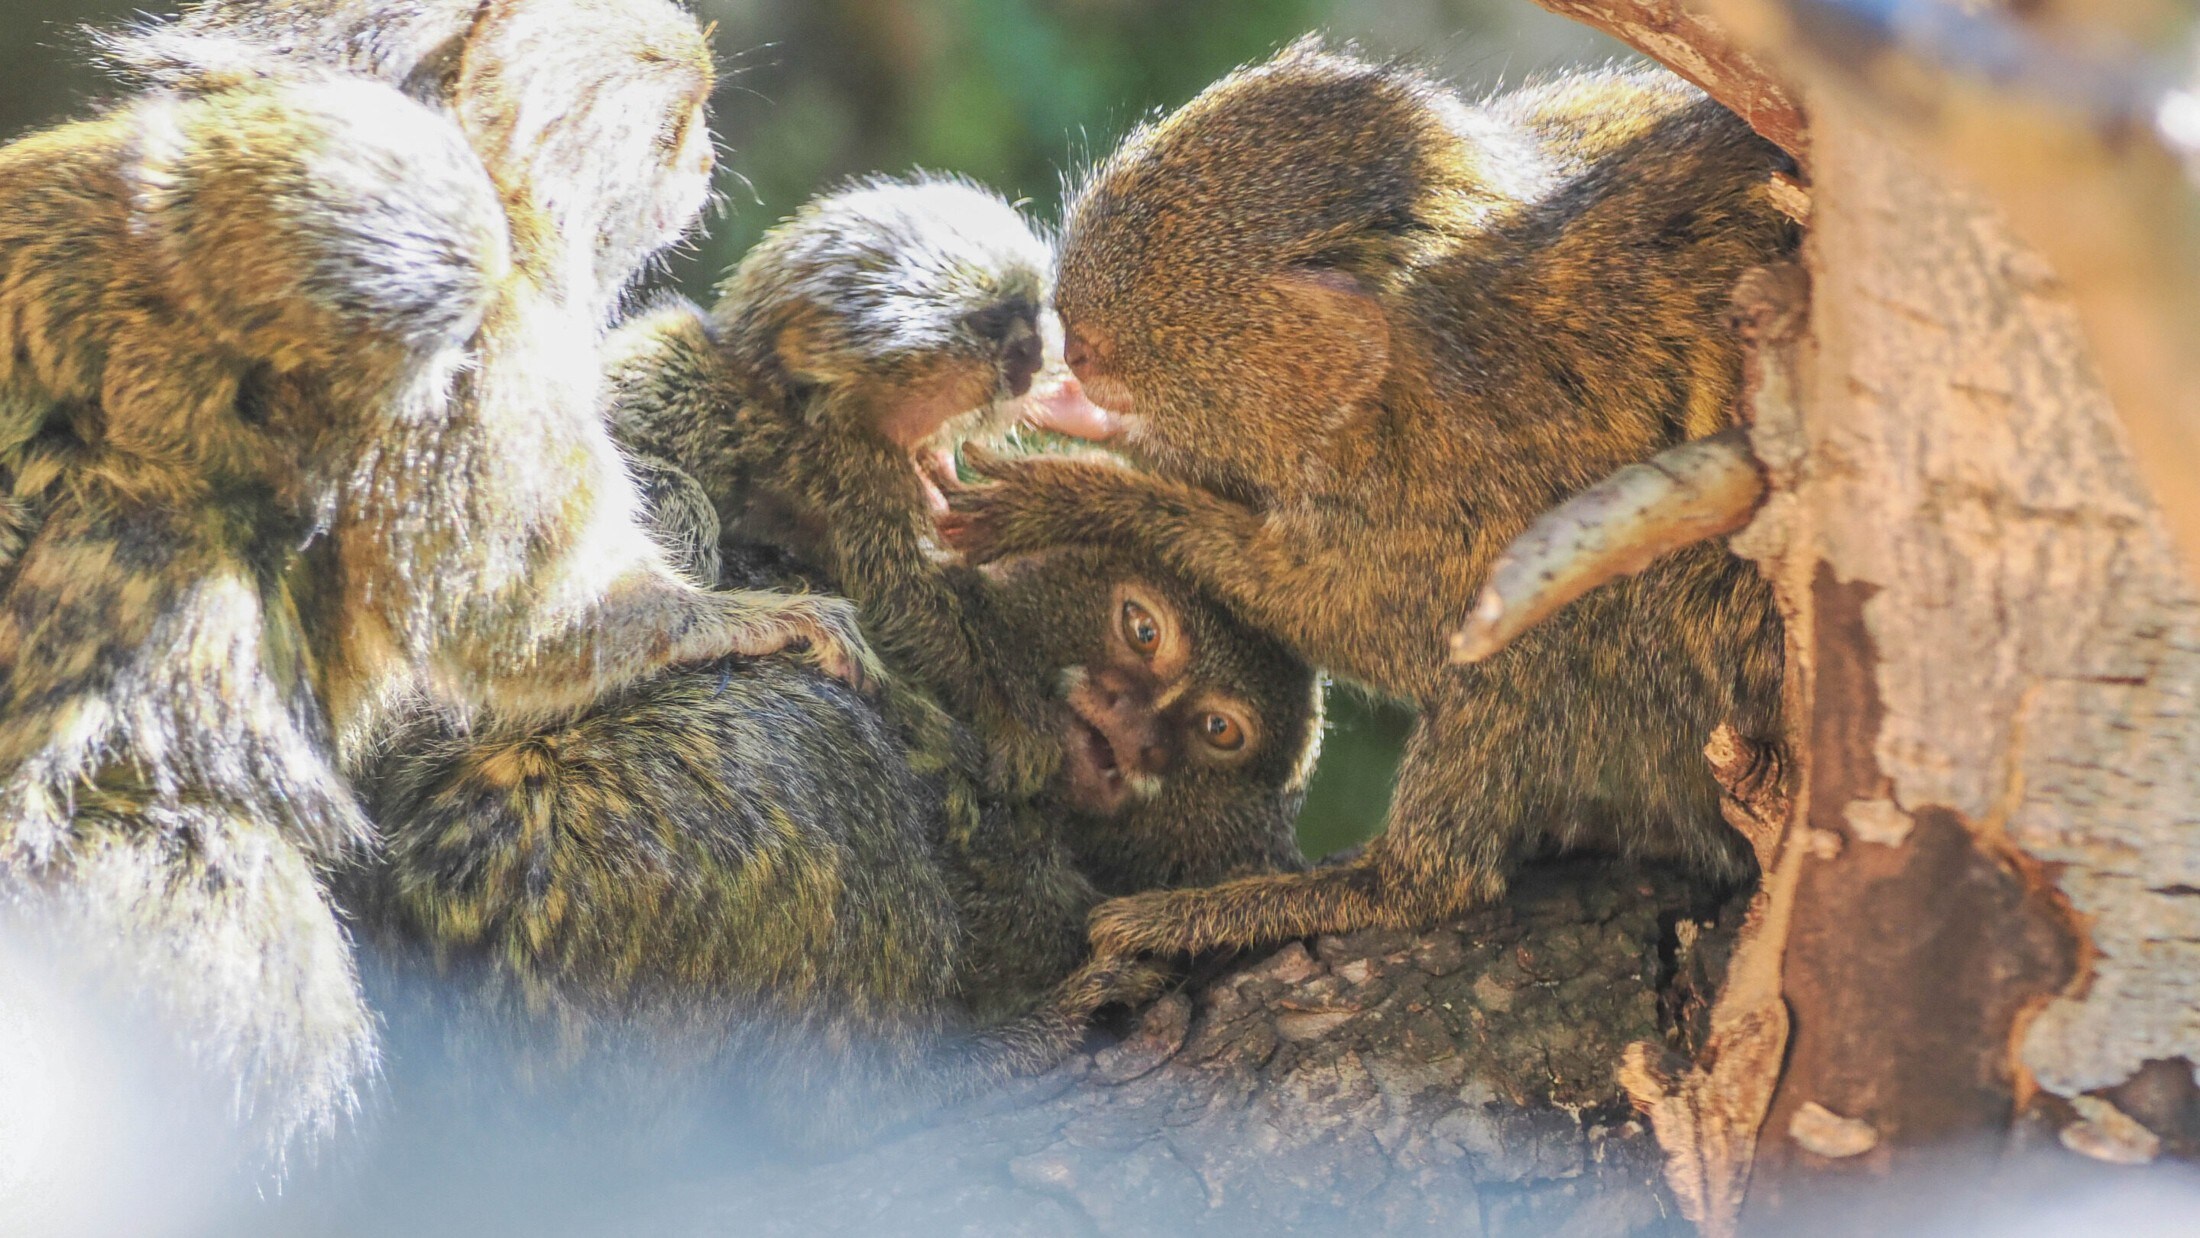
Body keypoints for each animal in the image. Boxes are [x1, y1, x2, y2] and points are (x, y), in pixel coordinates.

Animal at [945, 42, 1796, 965]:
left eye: (1099, 352)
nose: (1075, 363)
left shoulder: (1465, 468)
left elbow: (1376, 628)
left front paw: (1071, 497)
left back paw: (1343, 893)